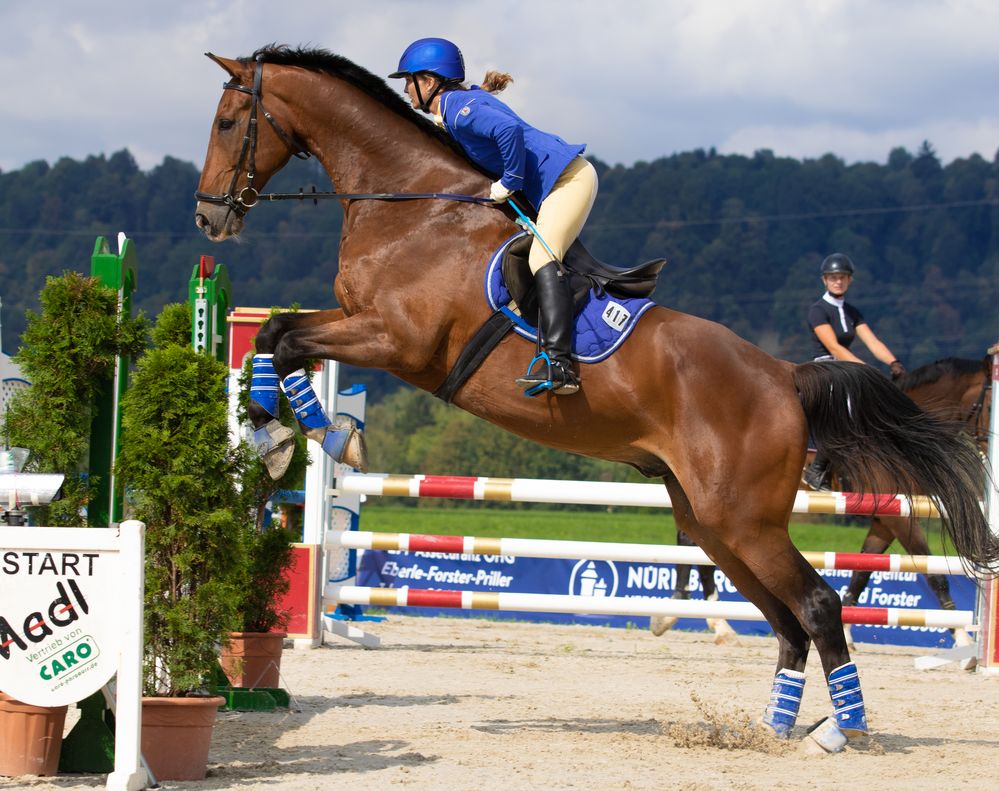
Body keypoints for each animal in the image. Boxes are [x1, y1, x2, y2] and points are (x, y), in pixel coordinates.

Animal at [651, 356, 993, 652]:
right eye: (991, 404)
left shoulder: (885, 521)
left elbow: (862, 572)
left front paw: (848, 631)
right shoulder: (900, 518)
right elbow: (933, 574)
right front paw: (962, 639)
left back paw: (692, 616)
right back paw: (706, 620)